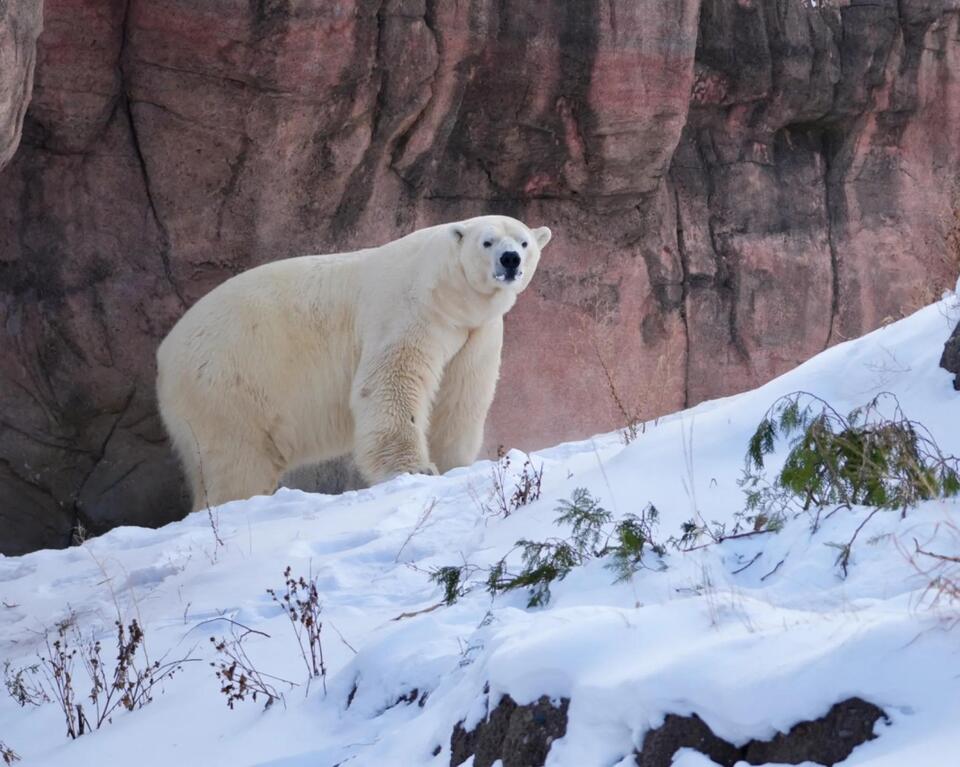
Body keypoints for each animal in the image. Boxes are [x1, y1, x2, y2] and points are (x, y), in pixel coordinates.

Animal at [156, 215, 552, 511]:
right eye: (488, 242)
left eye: (523, 242)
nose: (510, 260)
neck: (447, 291)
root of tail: (164, 353)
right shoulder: (407, 310)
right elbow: (390, 383)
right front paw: (414, 470)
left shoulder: (475, 332)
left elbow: (460, 397)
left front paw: (455, 465)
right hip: (228, 379)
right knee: (237, 461)